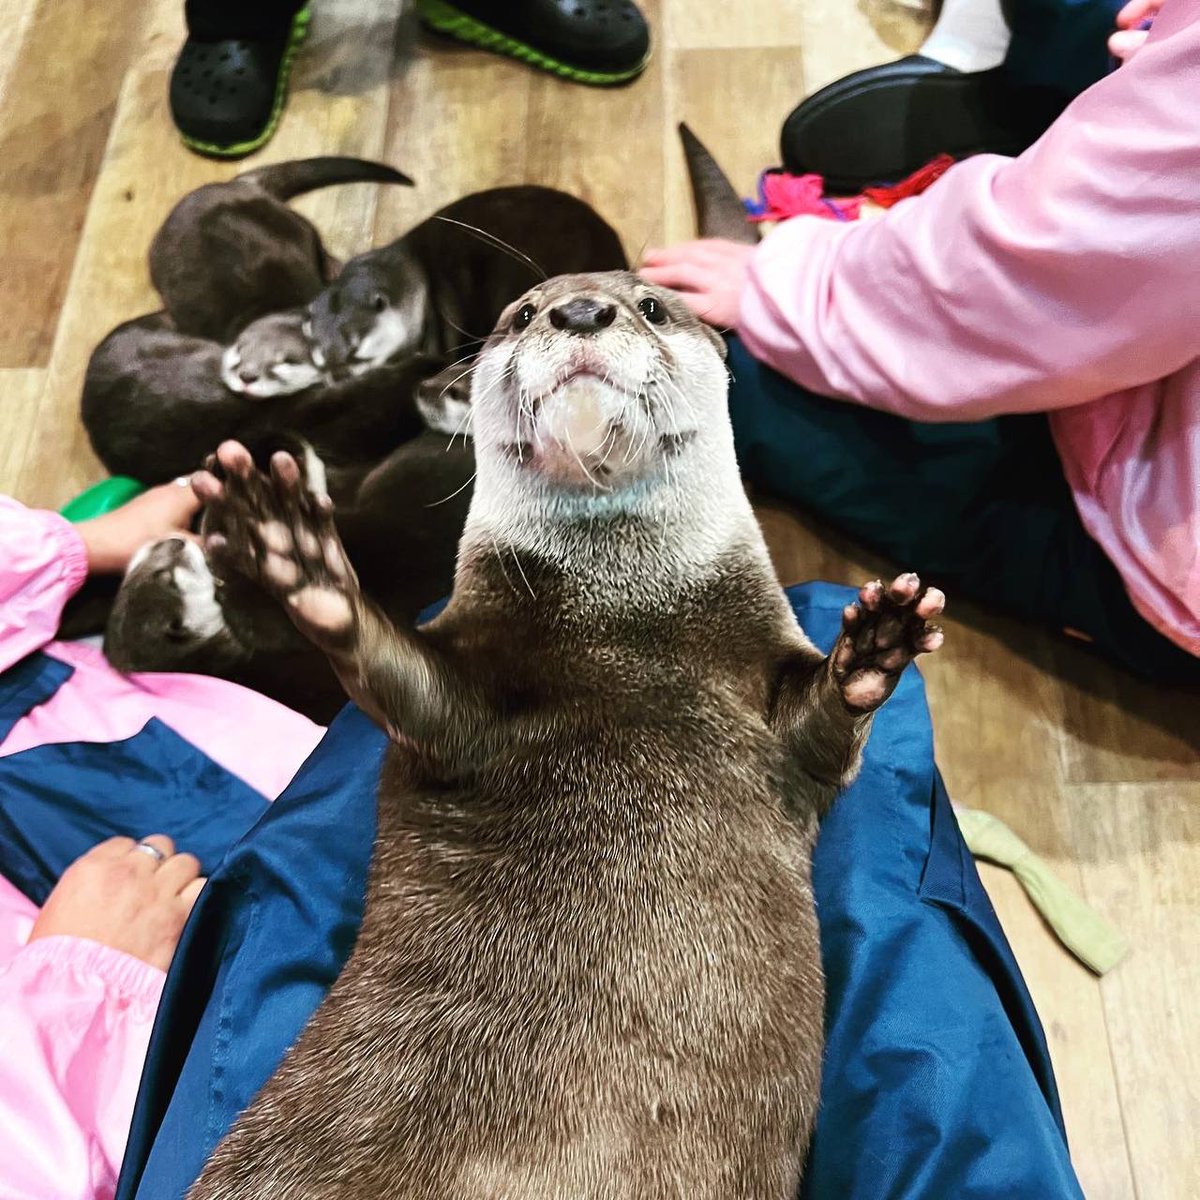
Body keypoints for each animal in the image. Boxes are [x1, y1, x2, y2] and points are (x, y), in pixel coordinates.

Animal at [186, 271, 945, 1199]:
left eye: (652, 305)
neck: (627, 613)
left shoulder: (769, 691)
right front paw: (300, 562)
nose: (581, 310)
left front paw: (875, 644)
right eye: (521, 313)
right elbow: (412, 688)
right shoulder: (465, 684)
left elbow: (824, 738)